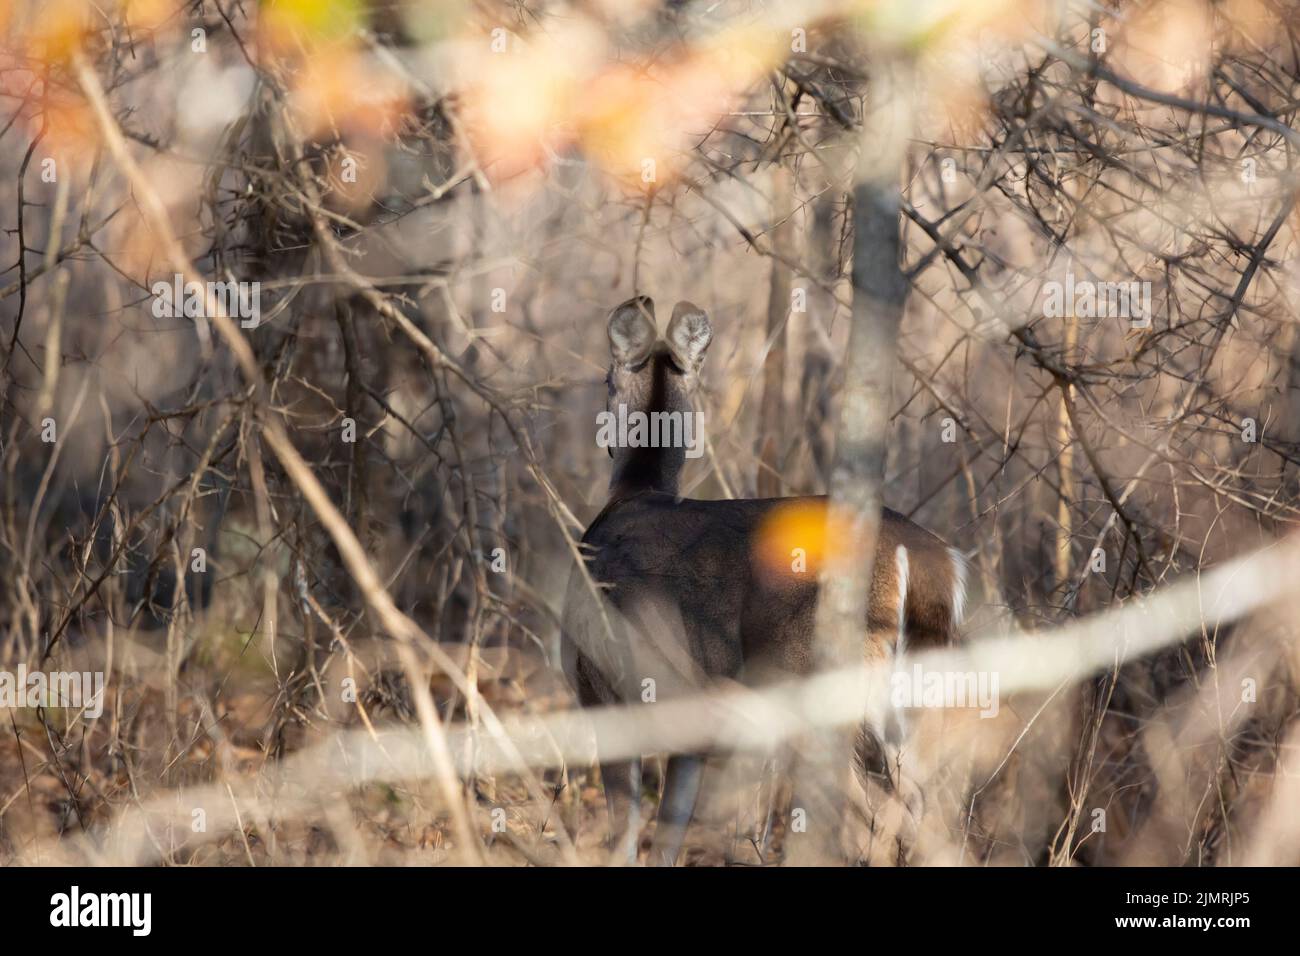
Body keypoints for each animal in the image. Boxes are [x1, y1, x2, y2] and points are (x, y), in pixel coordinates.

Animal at [560, 295, 966, 866]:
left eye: (603, 378)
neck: (634, 493)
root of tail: (930, 556)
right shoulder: (688, 729)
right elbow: (668, 837)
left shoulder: (600, 687)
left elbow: (625, 833)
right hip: (918, 693)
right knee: (931, 801)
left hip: (816, 681)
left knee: (874, 806)